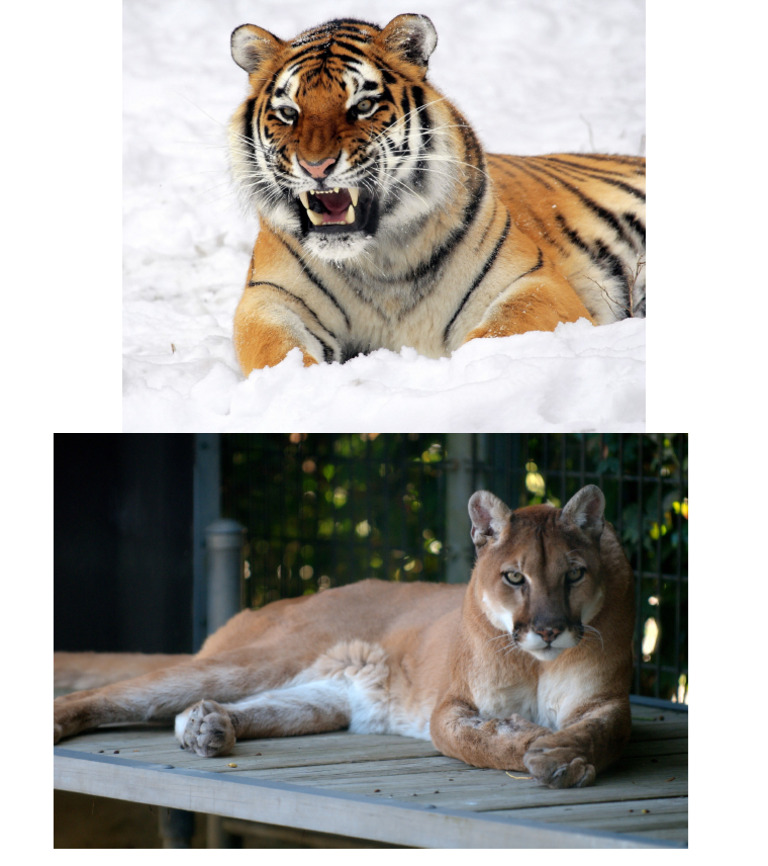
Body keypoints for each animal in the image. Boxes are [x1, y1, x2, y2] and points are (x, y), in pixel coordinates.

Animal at [228, 14, 645, 374]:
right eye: (288, 113)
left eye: (363, 105)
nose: (316, 167)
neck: (381, 261)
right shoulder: (269, 297)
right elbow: (275, 351)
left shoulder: (535, 281)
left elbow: (501, 330)